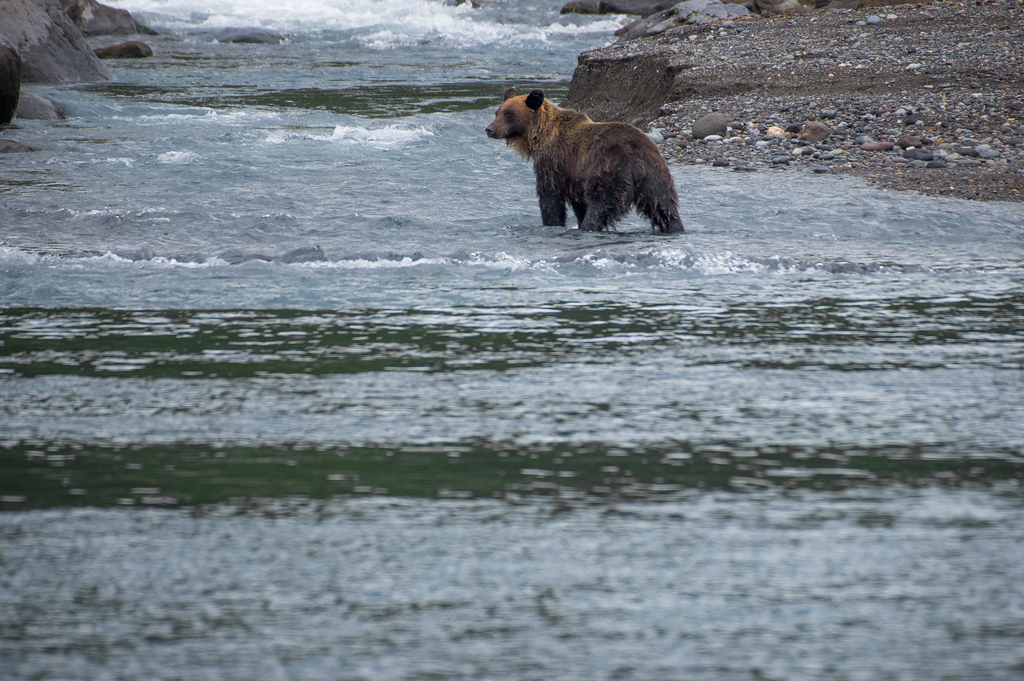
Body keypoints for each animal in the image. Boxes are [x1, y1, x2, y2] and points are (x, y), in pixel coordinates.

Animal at [485, 88, 683, 234]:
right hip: (655, 177)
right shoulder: (575, 179)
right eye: (497, 112)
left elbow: (550, 196)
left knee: (600, 206)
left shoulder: (555, 161)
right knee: (665, 208)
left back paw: (590, 227)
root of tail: (636, 157)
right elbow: (578, 204)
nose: (489, 129)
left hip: (610, 172)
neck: (540, 136)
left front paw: (552, 222)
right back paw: (675, 228)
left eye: (509, 114)